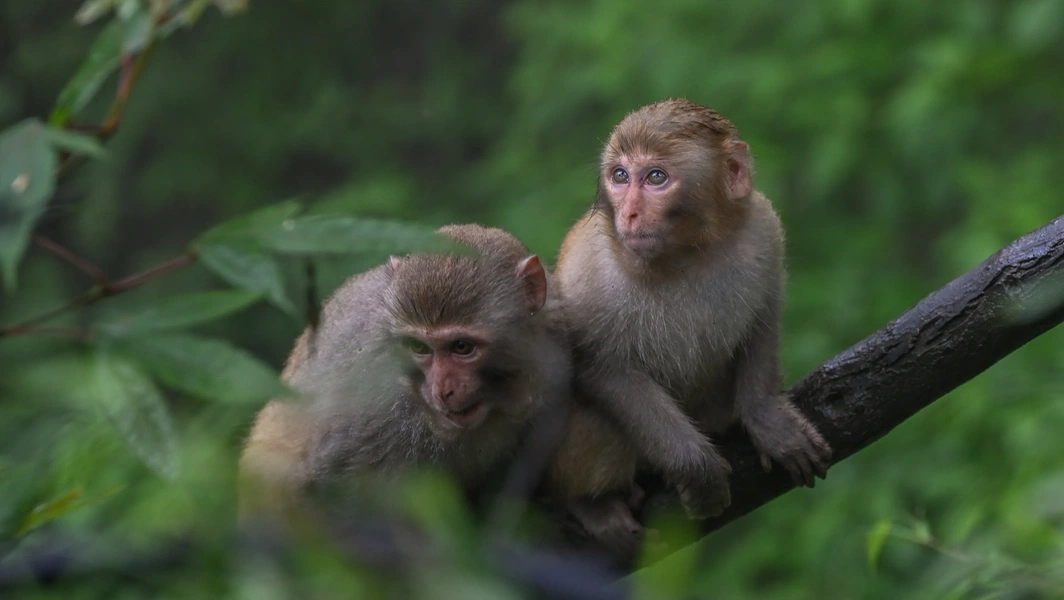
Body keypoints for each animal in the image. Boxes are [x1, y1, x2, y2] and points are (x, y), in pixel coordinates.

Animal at [549, 98, 833, 527]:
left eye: (655, 177)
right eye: (620, 176)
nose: (629, 214)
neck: (680, 257)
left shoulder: (761, 227)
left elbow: (764, 315)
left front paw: (768, 418)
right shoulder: (587, 272)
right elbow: (602, 367)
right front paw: (696, 468)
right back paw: (588, 503)